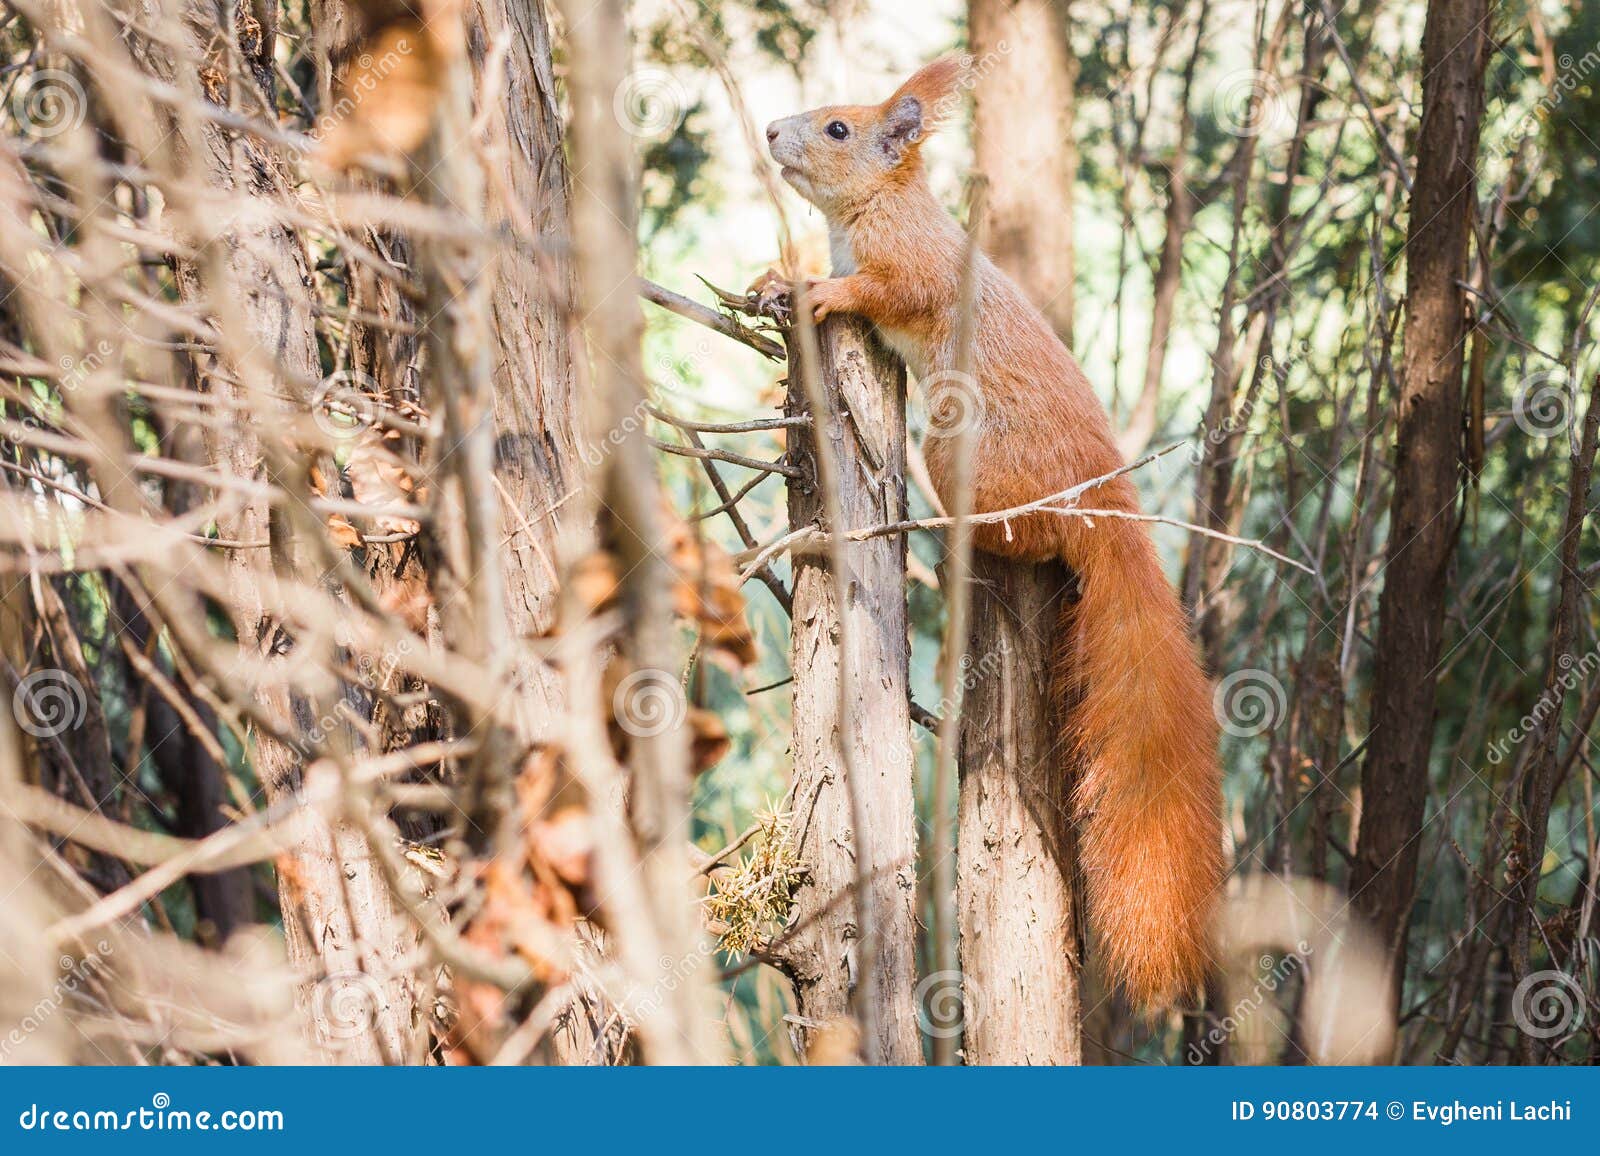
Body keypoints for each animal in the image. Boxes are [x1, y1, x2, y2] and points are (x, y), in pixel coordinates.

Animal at [764, 57, 1224, 1009]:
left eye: (838, 128)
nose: (770, 131)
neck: (874, 209)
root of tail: (1104, 506)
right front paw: (770, 280)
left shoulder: (914, 264)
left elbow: (887, 290)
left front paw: (818, 290)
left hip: (959, 452)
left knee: (1022, 540)